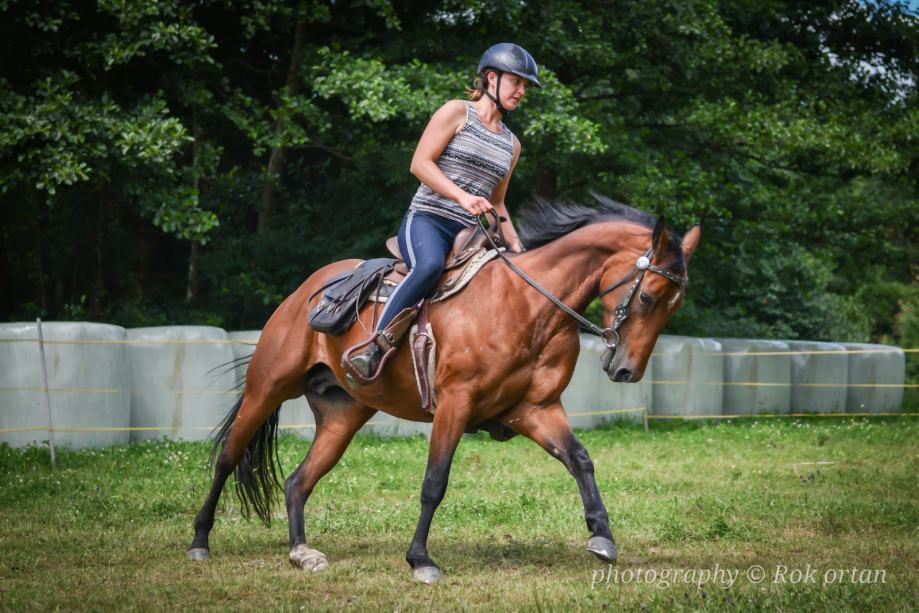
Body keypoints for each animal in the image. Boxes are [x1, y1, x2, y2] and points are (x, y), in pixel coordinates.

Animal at [187, 197, 701, 584]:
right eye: (649, 296)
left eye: (675, 305)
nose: (626, 370)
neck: (528, 305)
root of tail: (306, 291)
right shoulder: (456, 403)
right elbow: (435, 482)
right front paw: (420, 559)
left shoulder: (535, 409)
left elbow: (580, 460)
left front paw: (602, 536)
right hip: (268, 388)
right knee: (228, 457)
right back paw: (199, 541)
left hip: (342, 417)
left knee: (298, 481)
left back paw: (302, 552)